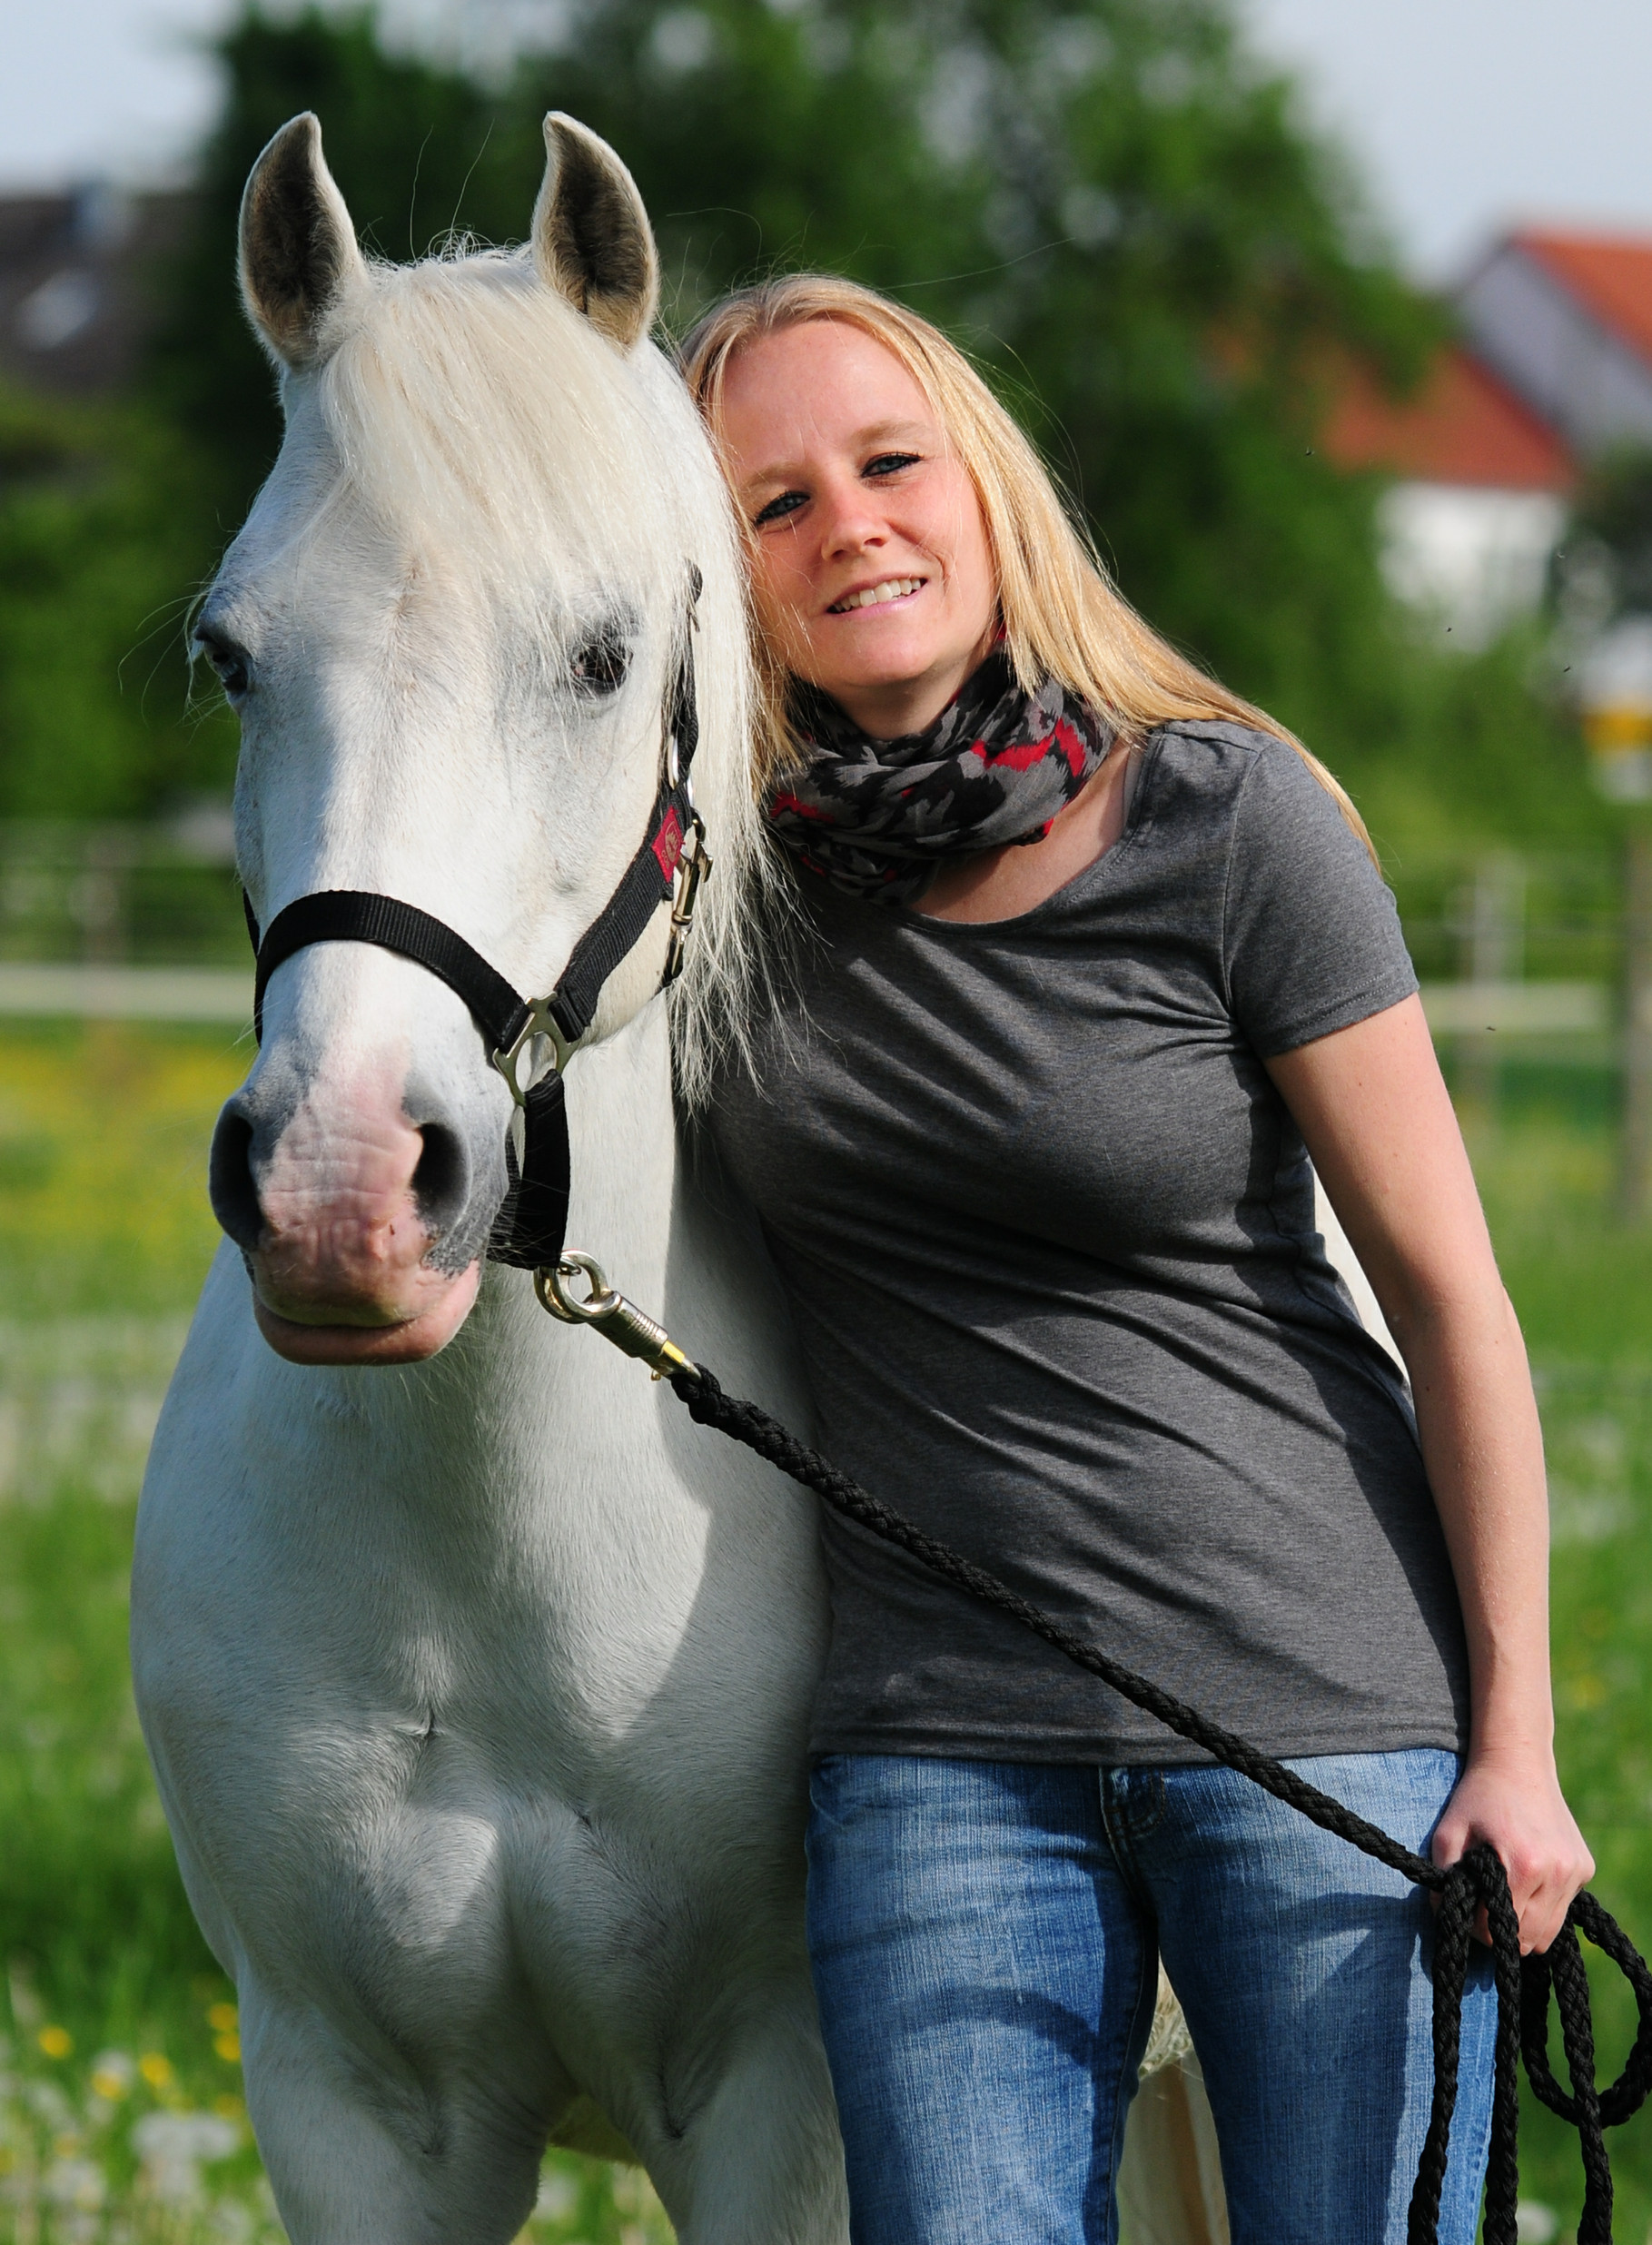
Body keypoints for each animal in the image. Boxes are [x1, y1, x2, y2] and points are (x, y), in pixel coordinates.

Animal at [132, 103, 1272, 2245]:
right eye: (231, 656)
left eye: (599, 655)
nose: (342, 1187)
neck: (489, 1558)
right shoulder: (352, 2119)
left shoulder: (782, 2109)